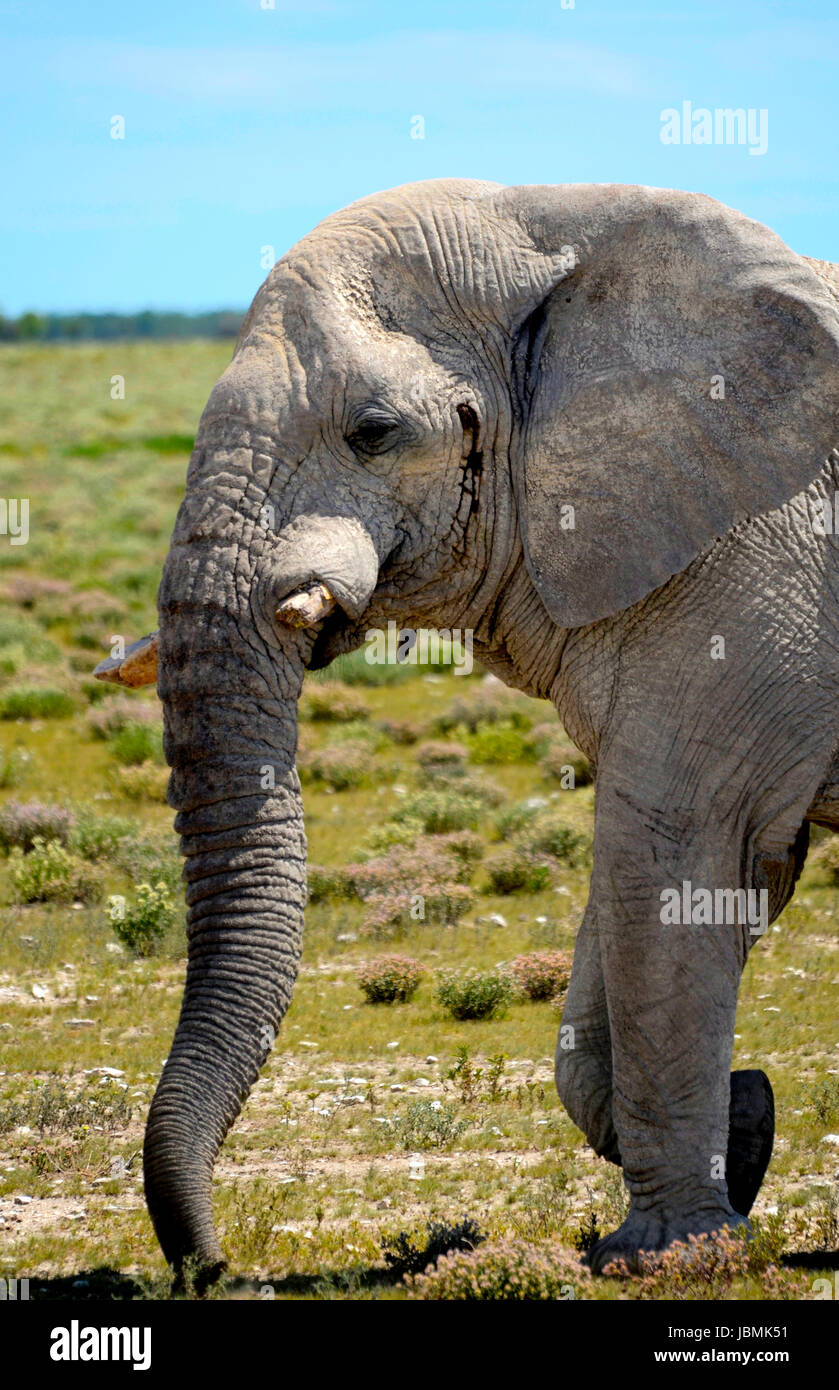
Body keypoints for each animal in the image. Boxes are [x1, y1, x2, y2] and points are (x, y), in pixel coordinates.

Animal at [98, 178, 839, 1282]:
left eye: (372, 431)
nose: (210, 1266)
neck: (556, 227)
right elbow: (652, 888)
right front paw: (746, 1130)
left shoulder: (749, 583)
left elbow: (670, 857)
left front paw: (661, 1255)